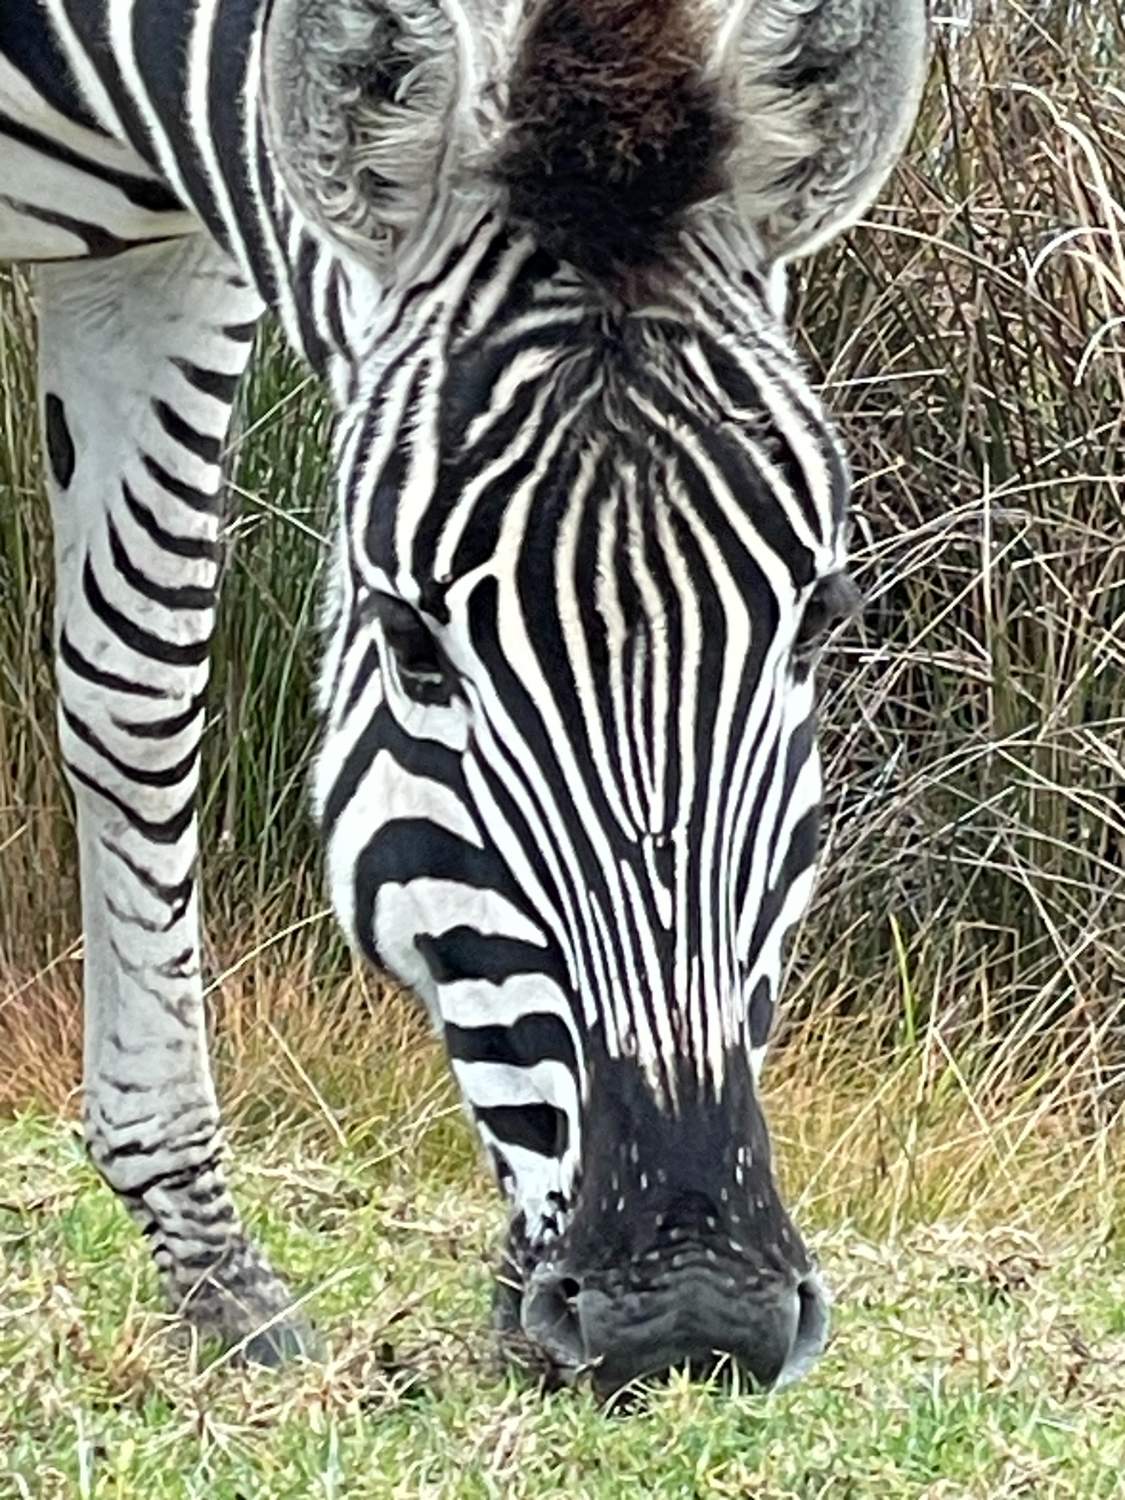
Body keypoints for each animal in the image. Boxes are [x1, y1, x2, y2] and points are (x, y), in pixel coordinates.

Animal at [0, 0, 927, 1393]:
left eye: (824, 617)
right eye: (411, 644)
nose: (691, 1315)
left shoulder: (167, 257)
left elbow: (138, 691)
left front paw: (211, 1268)